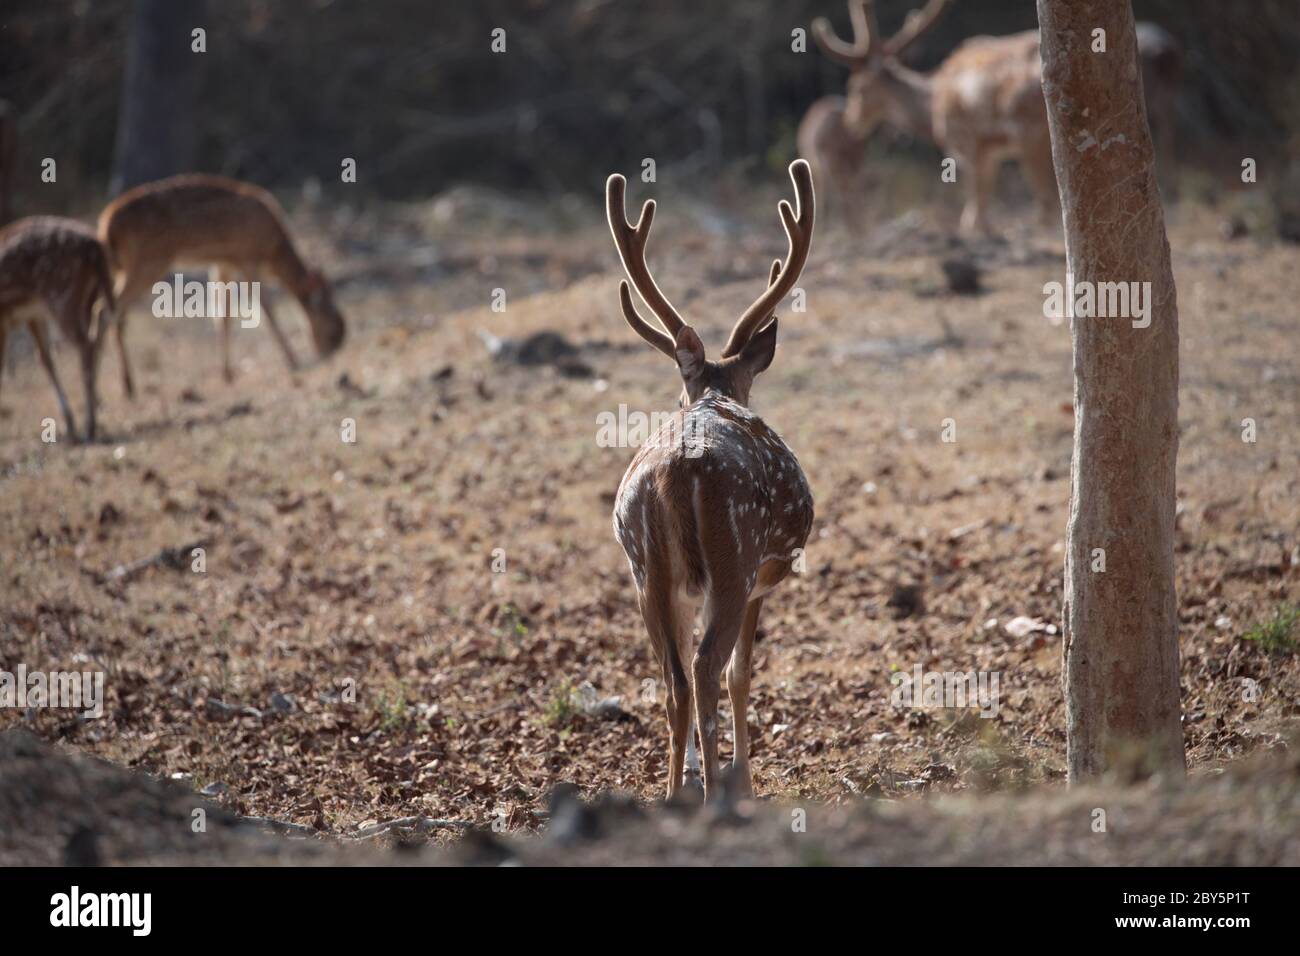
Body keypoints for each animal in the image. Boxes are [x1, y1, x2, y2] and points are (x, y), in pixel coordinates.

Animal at [0, 217, 116, 441]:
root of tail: (95, 249)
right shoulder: (33, 314)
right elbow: (45, 358)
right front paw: (68, 424)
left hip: (62, 296)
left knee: (86, 344)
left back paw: (90, 426)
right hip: (91, 296)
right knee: (98, 333)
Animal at [97, 174, 346, 396]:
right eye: (331, 324)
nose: (335, 346)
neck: (273, 252)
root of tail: (106, 227)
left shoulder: (223, 263)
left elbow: (223, 315)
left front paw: (227, 373)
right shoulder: (248, 259)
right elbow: (267, 311)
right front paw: (293, 360)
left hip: (121, 267)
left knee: (114, 313)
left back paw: (123, 383)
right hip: (148, 263)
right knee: (106, 312)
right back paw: (119, 385)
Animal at [606, 159, 816, 804]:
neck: (716, 392)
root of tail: (677, 471)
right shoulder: (760, 580)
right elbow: (741, 673)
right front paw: (745, 777)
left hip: (646, 569)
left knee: (672, 679)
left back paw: (674, 793)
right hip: (734, 556)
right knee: (704, 668)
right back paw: (720, 793)